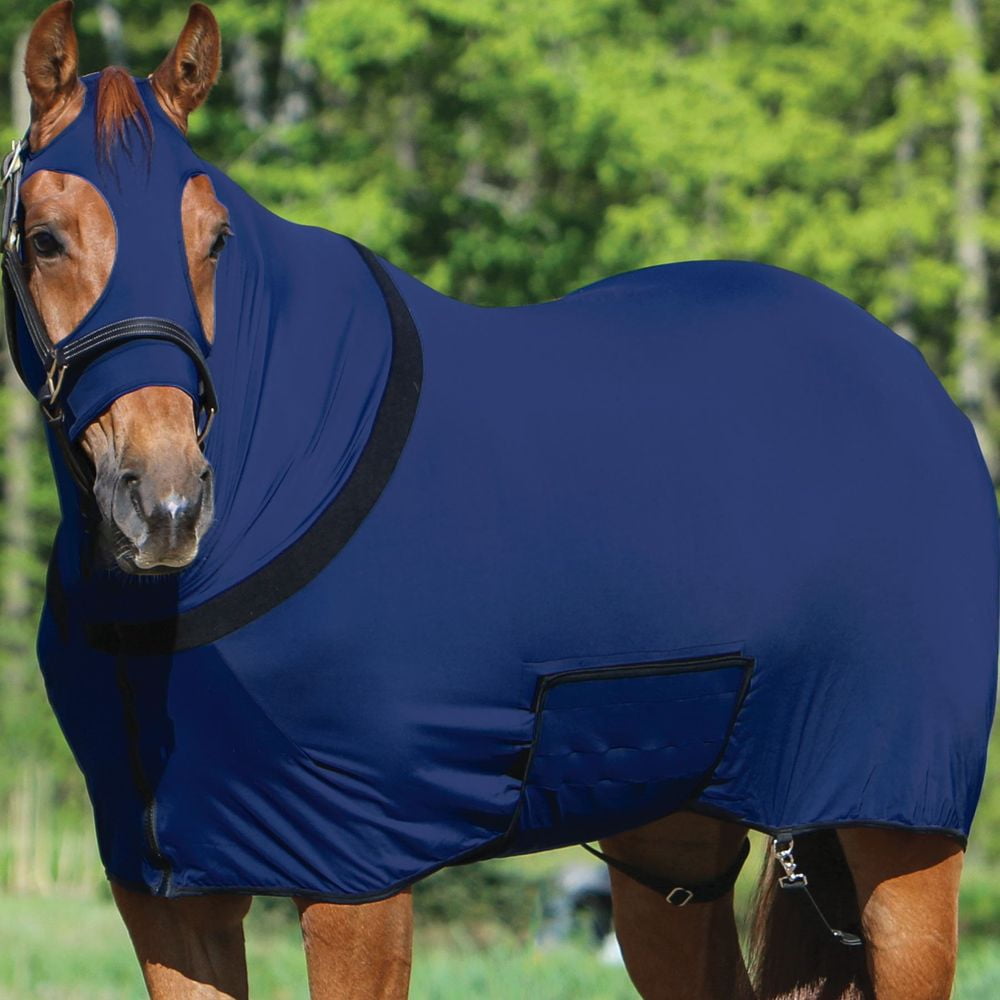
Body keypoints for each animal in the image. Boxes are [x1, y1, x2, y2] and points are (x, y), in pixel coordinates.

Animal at [5, 3, 996, 998]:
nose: (165, 506)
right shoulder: (167, 887)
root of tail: (912, 379)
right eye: (44, 237)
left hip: (897, 839)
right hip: (673, 840)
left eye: (214, 238)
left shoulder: (356, 874)